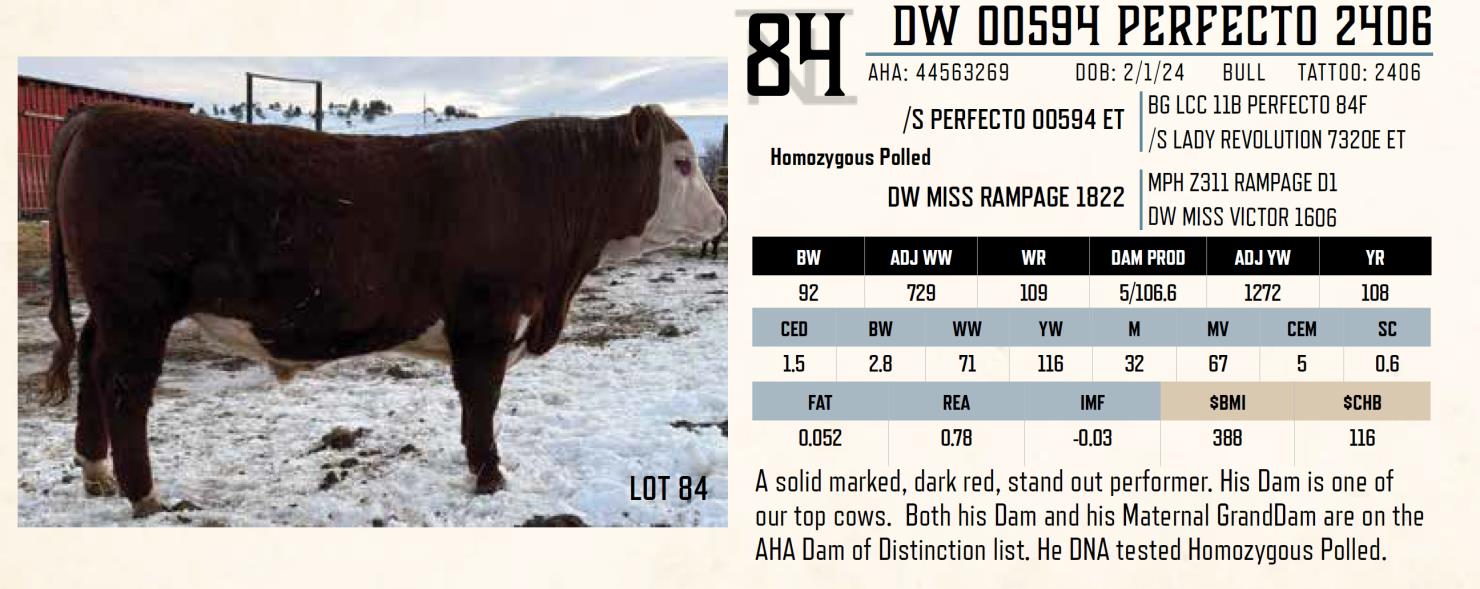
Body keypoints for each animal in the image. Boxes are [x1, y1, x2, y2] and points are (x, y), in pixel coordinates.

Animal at [39, 103, 727, 517]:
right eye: (682, 163)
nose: (721, 217)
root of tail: (99, 113)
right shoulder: (487, 317)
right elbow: (482, 399)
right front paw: (489, 476)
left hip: (115, 307)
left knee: (93, 359)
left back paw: (95, 471)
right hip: (139, 304)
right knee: (125, 385)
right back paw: (146, 494)